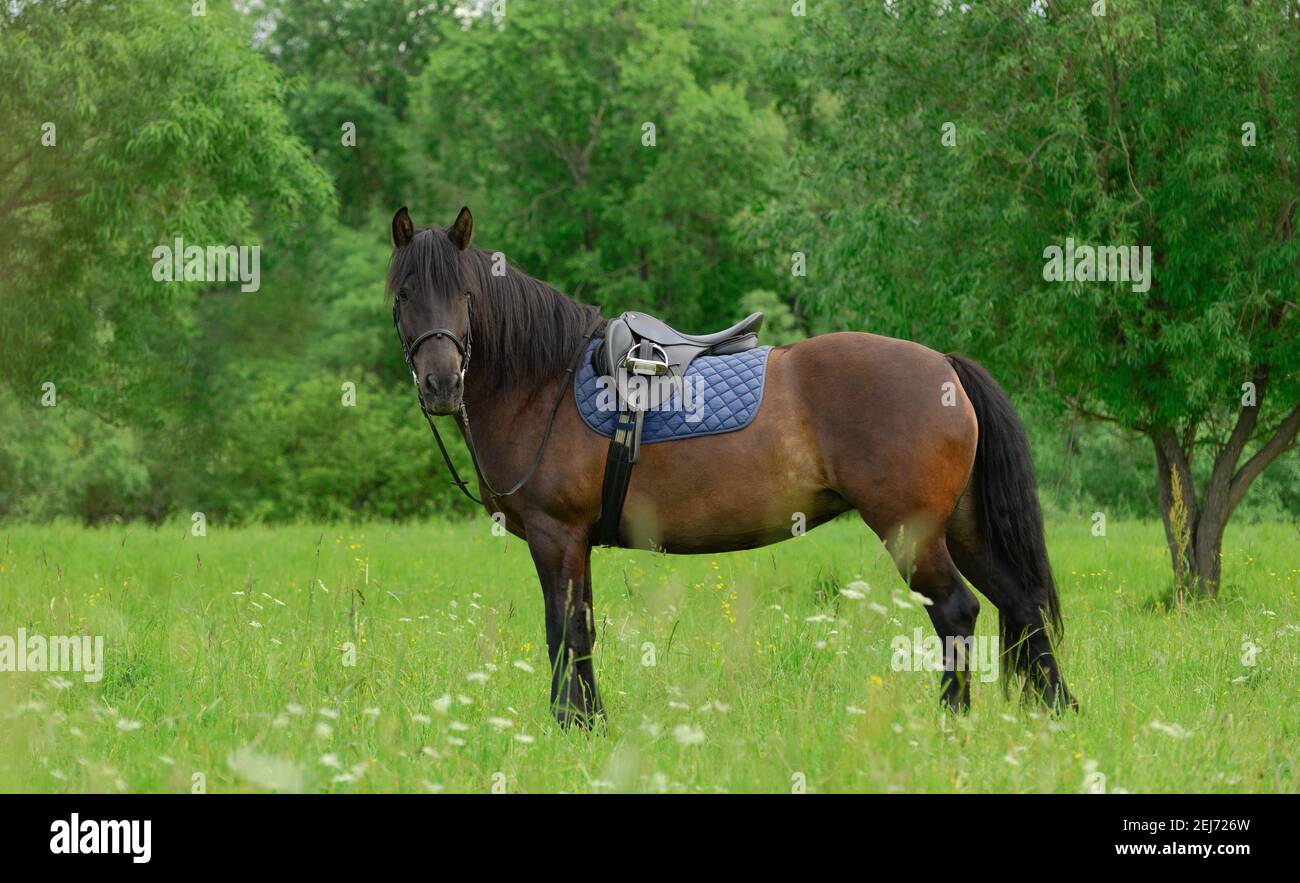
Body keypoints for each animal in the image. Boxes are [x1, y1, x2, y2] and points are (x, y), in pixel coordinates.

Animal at [388, 205, 1074, 727]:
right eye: (404, 295)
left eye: (465, 294)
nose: (442, 384)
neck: (544, 382)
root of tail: (944, 367)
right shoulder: (574, 543)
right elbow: (582, 631)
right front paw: (590, 722)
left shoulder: (556, 537)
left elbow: (565, 633)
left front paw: (570, 725)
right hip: (963, 527)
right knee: (1021, 606)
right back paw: (1056, 713)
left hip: (914, 532)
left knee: (957, 611)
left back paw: (951, 721)